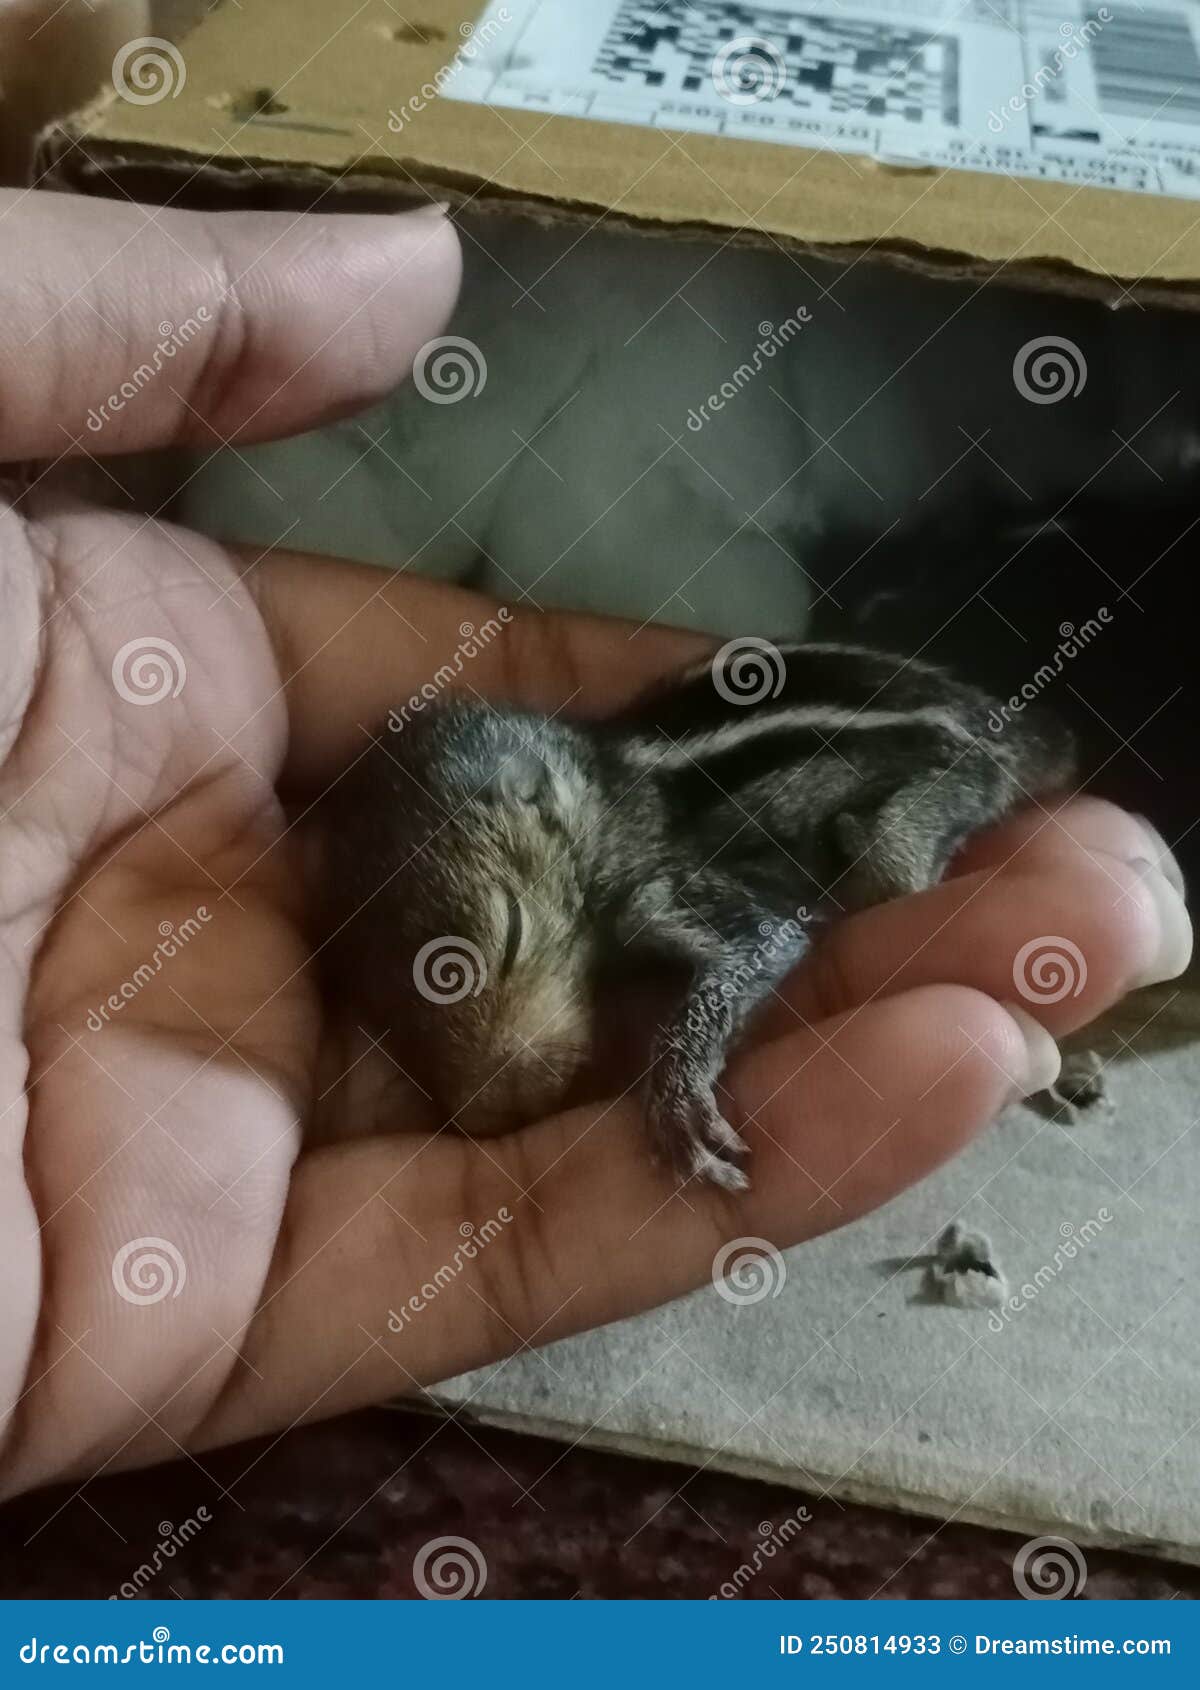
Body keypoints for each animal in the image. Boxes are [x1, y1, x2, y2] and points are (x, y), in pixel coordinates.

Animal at [315, 639, 1090, 1190]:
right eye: (380, 1013)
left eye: (511, 933)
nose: (494, 1112)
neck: (607, 791)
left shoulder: (658, 890)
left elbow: (760, 946)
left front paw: (677, 1095)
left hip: (936, 804)